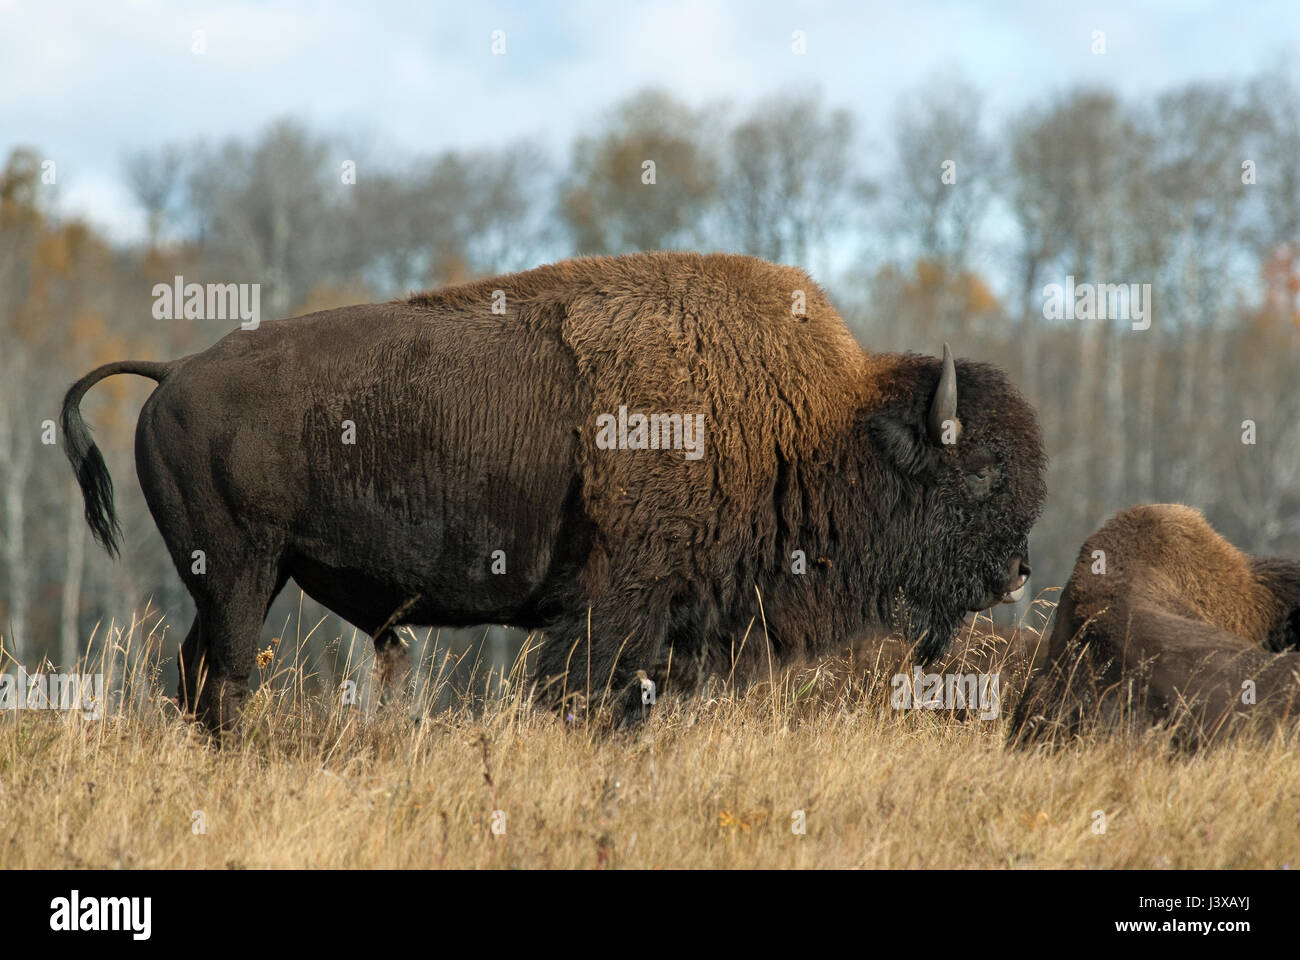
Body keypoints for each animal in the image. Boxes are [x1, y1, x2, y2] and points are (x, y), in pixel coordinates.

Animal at [61, 252, 1047, 734]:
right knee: (224, 678)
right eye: (981, 472)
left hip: (251, 577)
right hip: (236, 571)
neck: (814, 424)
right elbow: (586, 691)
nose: (1016, 574)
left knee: (198, 672)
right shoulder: (613, 610)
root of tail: (175, 371)